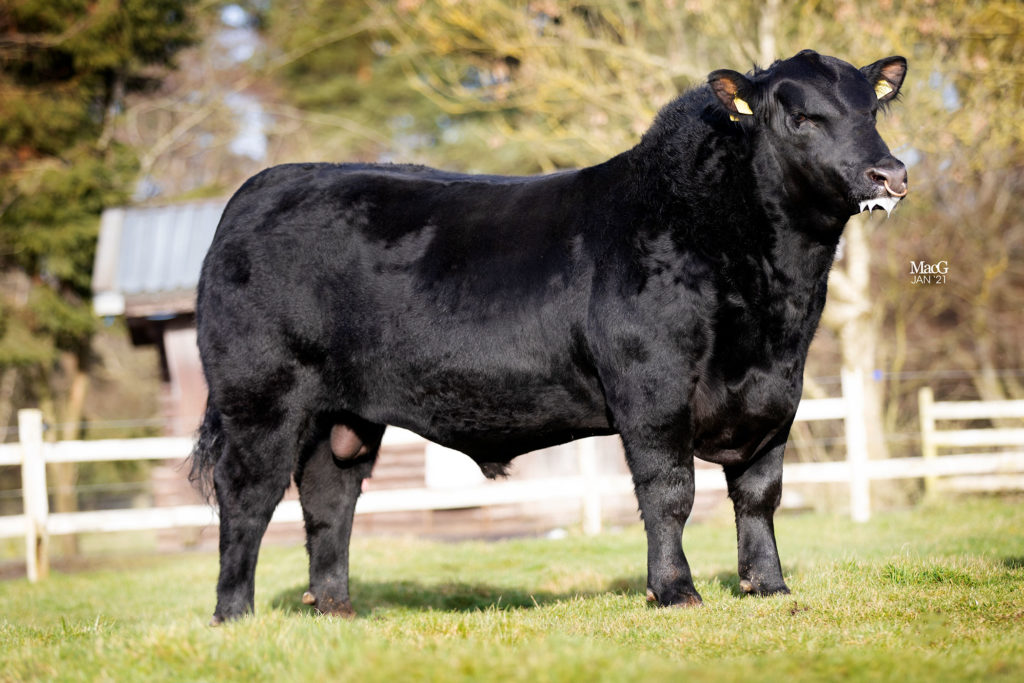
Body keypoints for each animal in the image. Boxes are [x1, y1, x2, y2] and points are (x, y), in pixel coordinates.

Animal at [190, 50, 908, 624]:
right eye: (801, 117)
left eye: (872, 109)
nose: (890, 173)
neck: (770, 304)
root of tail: (269, 184)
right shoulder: (652, 390)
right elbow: (669, 492)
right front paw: (675, 590)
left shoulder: (776, 394)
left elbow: (760, 494)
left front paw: (769, 585)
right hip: (260, 397)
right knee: (248, 497)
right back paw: (234, 613)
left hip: (342, 415)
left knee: (329, 498)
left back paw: (336, 608)